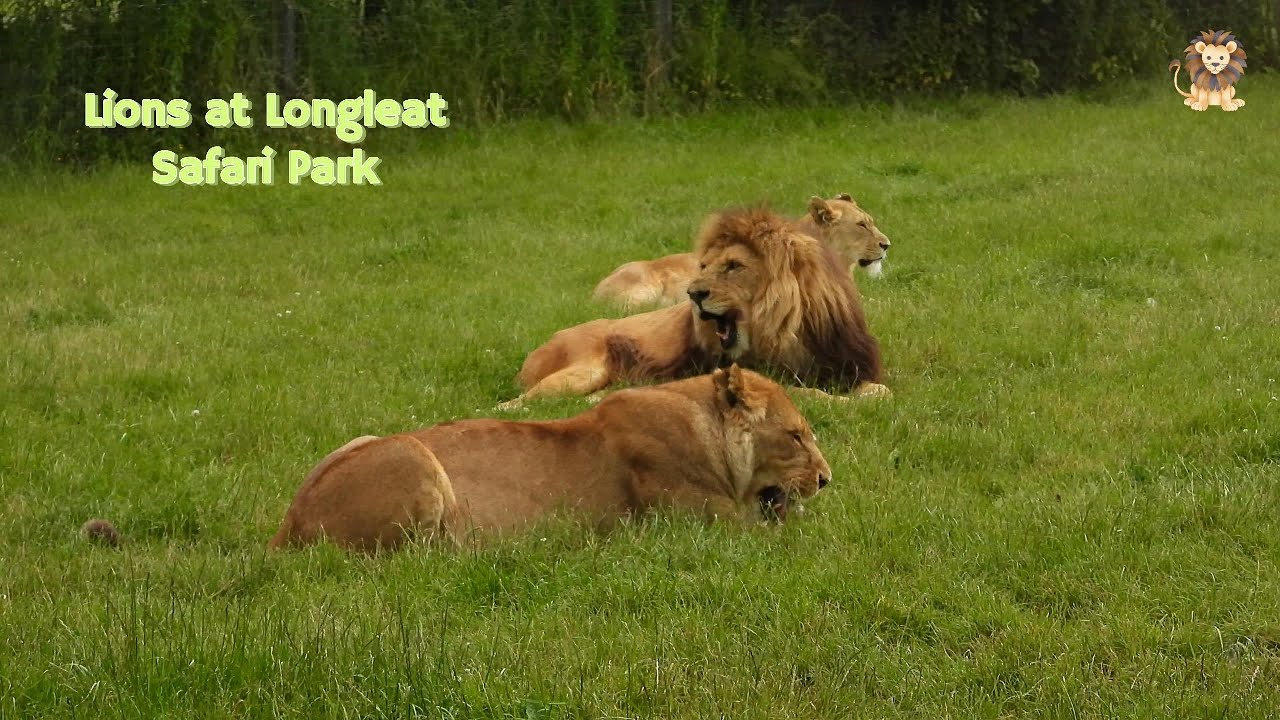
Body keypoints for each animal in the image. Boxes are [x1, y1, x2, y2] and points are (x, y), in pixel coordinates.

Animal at [501, 206, 887, 409]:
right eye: (703, 265)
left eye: (733, 266)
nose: (693, 294)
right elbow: (810, 394)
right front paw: (842, 402)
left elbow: (880, 390)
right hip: (581, 370)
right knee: (517, 404)